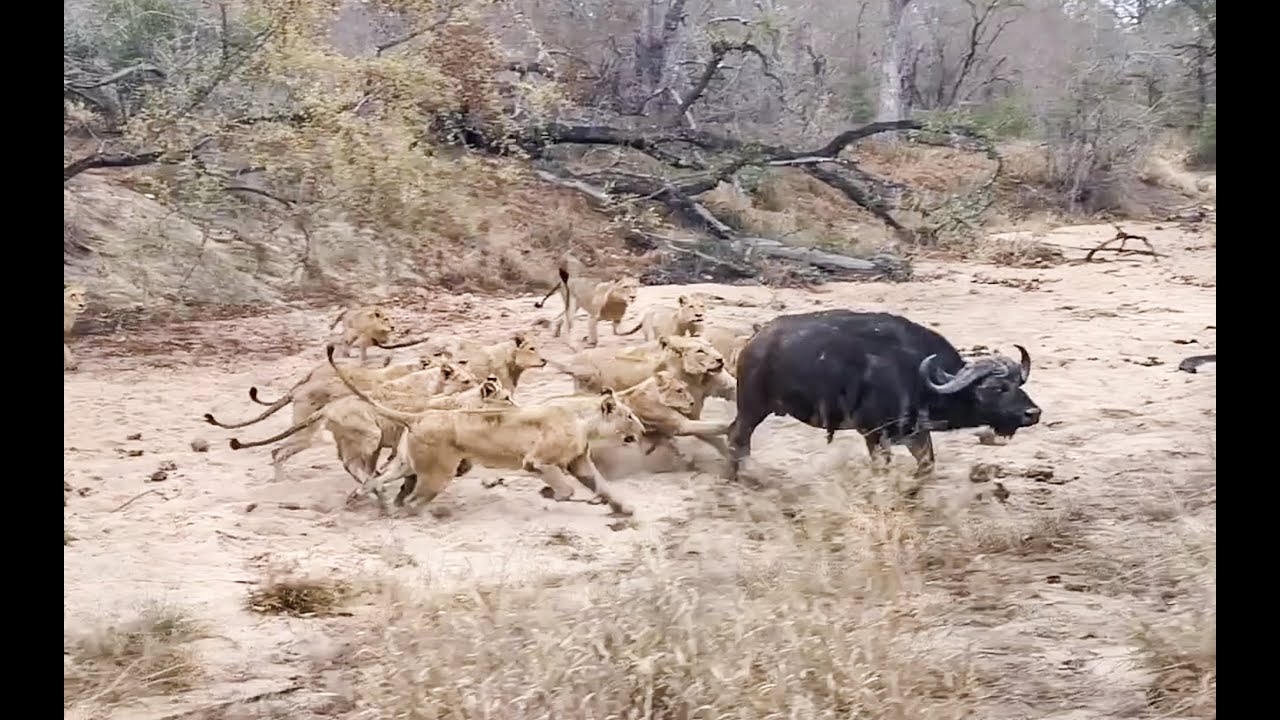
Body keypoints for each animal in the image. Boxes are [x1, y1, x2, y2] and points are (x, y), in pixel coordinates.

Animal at [332, 349, 646, 517]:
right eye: (630, 415)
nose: (642, 430)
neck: (584, 421)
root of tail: (420, 414)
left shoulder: (579, 461)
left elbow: (603, 486)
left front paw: (623, 509)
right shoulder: (537, 461)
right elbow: (566, 490)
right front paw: (548, 493)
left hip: (404, 464)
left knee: (372, 481)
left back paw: (360, 503)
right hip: (437, 473)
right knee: (411, 502)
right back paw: (417, 515)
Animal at [725, 310, 1042, 481]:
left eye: (1019, 384)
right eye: (996, 388)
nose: (1033, 413)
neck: (916, 375)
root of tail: (754, 342)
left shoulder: (916, 434)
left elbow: (926, 466)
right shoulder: (874, 434)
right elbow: (882, 469)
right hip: (753, 406)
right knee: (737, 437)